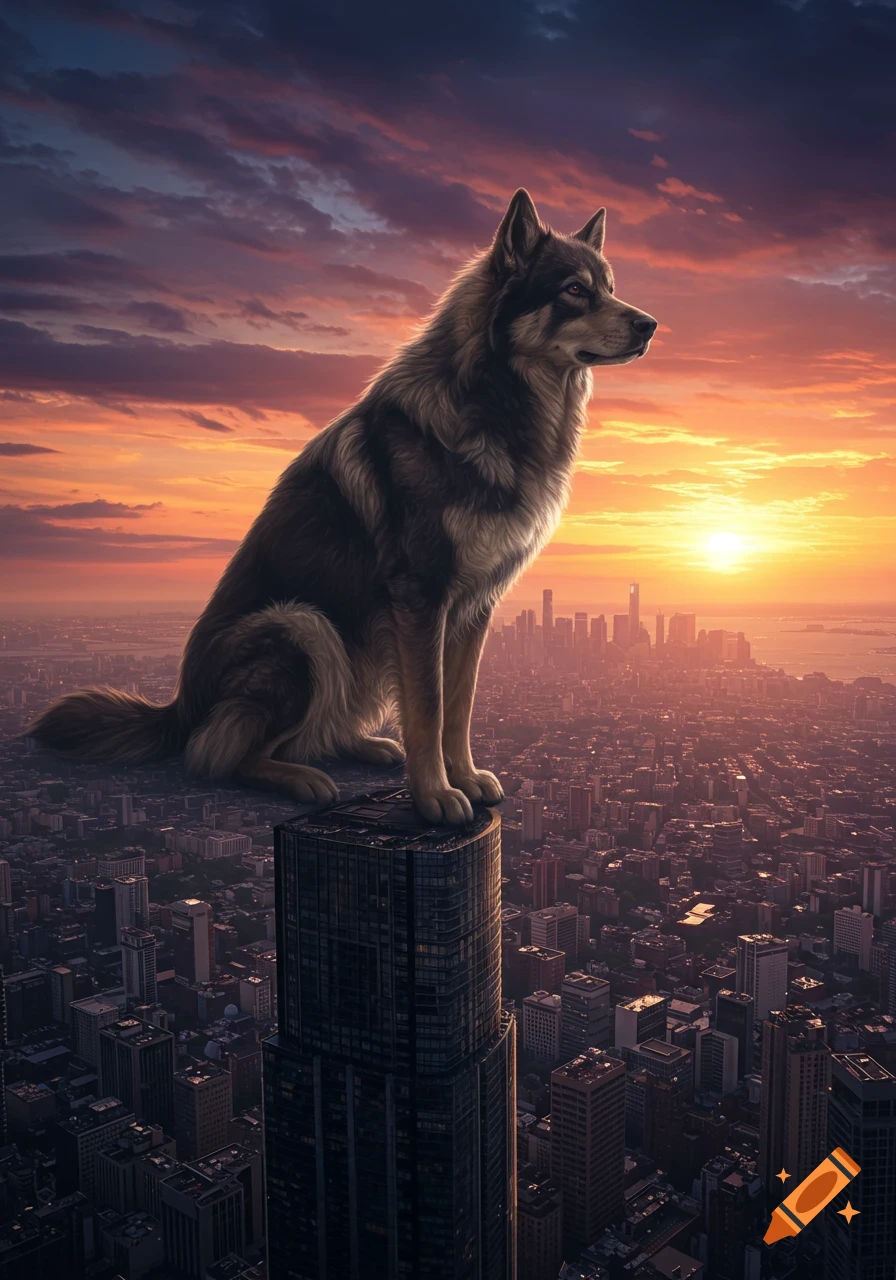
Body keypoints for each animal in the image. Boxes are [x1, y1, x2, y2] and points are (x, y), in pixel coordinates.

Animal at [26, 190, 657, 825]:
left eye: (609, 286)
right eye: (574, 289)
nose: (650, 324)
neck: (495, 396)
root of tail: (178, 708)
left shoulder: (474, 606)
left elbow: (458, 706)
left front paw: (463, 776)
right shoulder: (421, 596)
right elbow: (428, 708)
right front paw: (434, 794)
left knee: (300, 732)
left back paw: (364, 746)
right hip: (303, 626)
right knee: (218, 753)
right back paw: (301, 778)